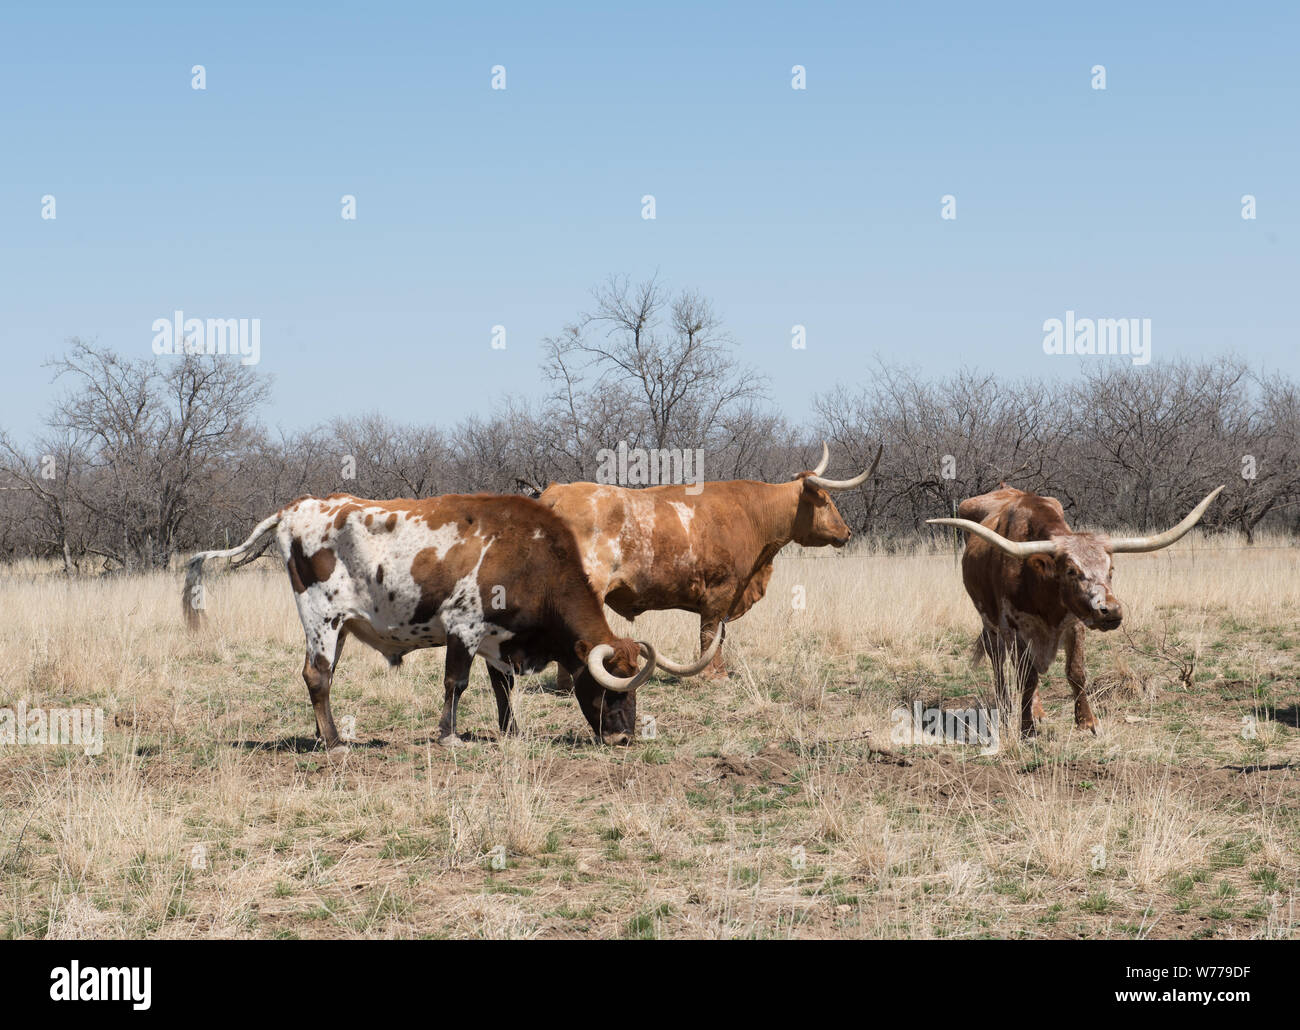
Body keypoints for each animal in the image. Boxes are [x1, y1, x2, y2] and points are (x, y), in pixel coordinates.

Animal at [182, 493, 720, 749]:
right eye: (610, 690)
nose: (623, 738)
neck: (528, 553)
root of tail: (295, 509)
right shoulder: (464, 629)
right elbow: (455, 683)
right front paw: (448, 735)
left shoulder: (499, 640)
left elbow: (503, 689)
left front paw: (511, 732)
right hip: (324, 618)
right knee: (317, 676)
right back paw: (334, 743)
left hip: (335, 628)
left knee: (323, 677)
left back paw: (322, 735)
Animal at [540, 442, 881, 685]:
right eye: (826, 500)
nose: (846, 532)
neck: (754, 515)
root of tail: (557, 491)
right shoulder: (721, 590)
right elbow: (710, 633)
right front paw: (713, 675)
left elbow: (718, 635)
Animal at [928, 484, 1223, 738]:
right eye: (1071, 571)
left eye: (1111, 569)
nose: (1110, 610)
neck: (1039, 584)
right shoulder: (1014, 626)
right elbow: (1026, 677)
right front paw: (1026, 729)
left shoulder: (1076, 624)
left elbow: (1075, 672)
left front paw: (1087, 722)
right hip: (990, 625)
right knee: (999, 663)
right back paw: (1006, 706)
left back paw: (1039, 711)